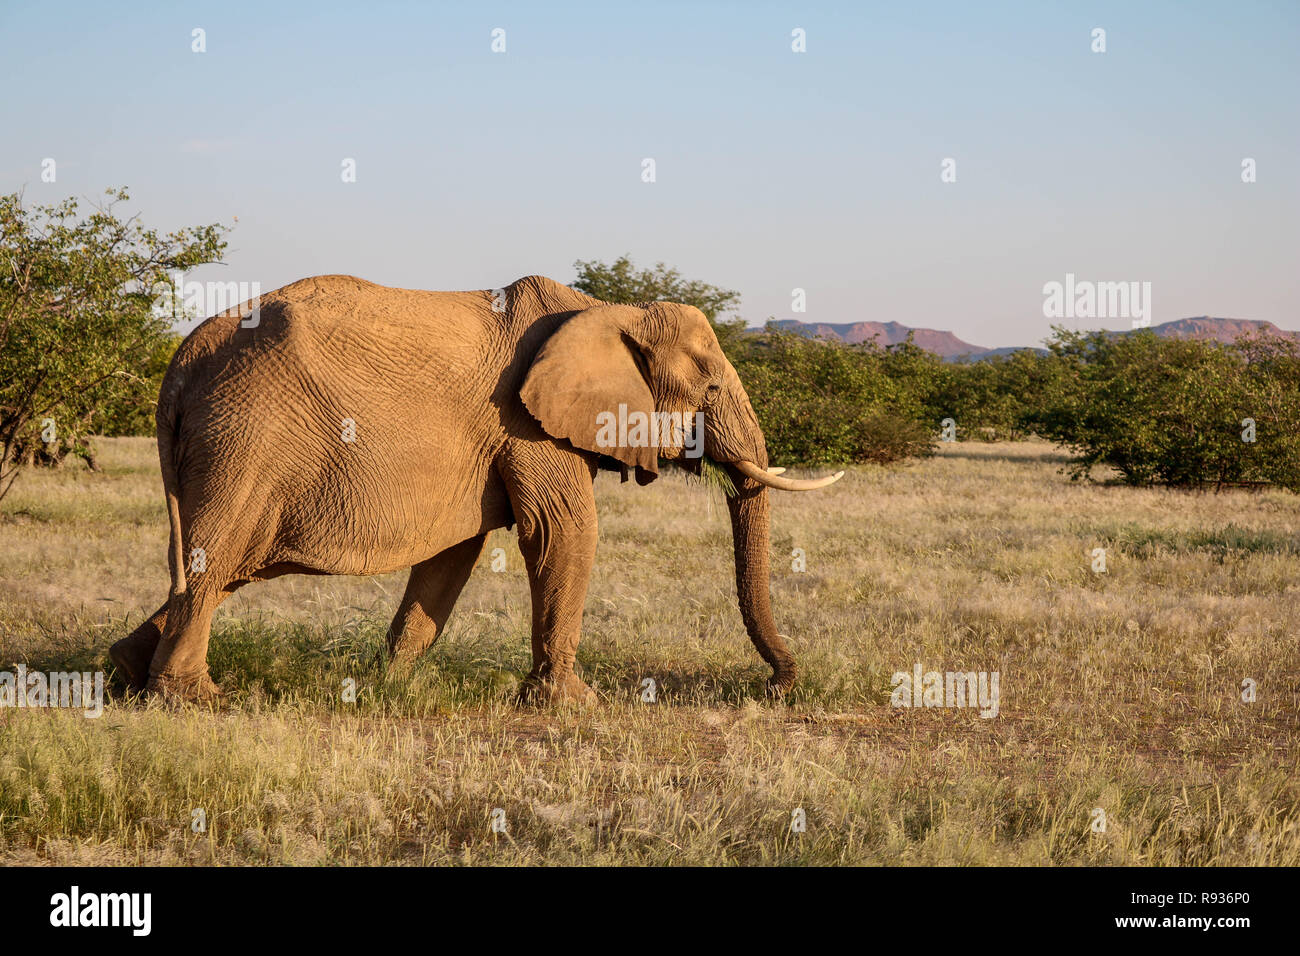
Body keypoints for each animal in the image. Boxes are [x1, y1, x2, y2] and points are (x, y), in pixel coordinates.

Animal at [108, 274, 843, 704]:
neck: (606, 311)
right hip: (246, 440)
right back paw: (189, 700)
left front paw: (392, 689)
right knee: (215, 564)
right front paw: (571, 706)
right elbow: (564, 532)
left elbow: (452, 555)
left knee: (225, 569)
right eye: (710, 388)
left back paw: (124, 673)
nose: (779, 686)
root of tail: (182, 360)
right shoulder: (528, 426)